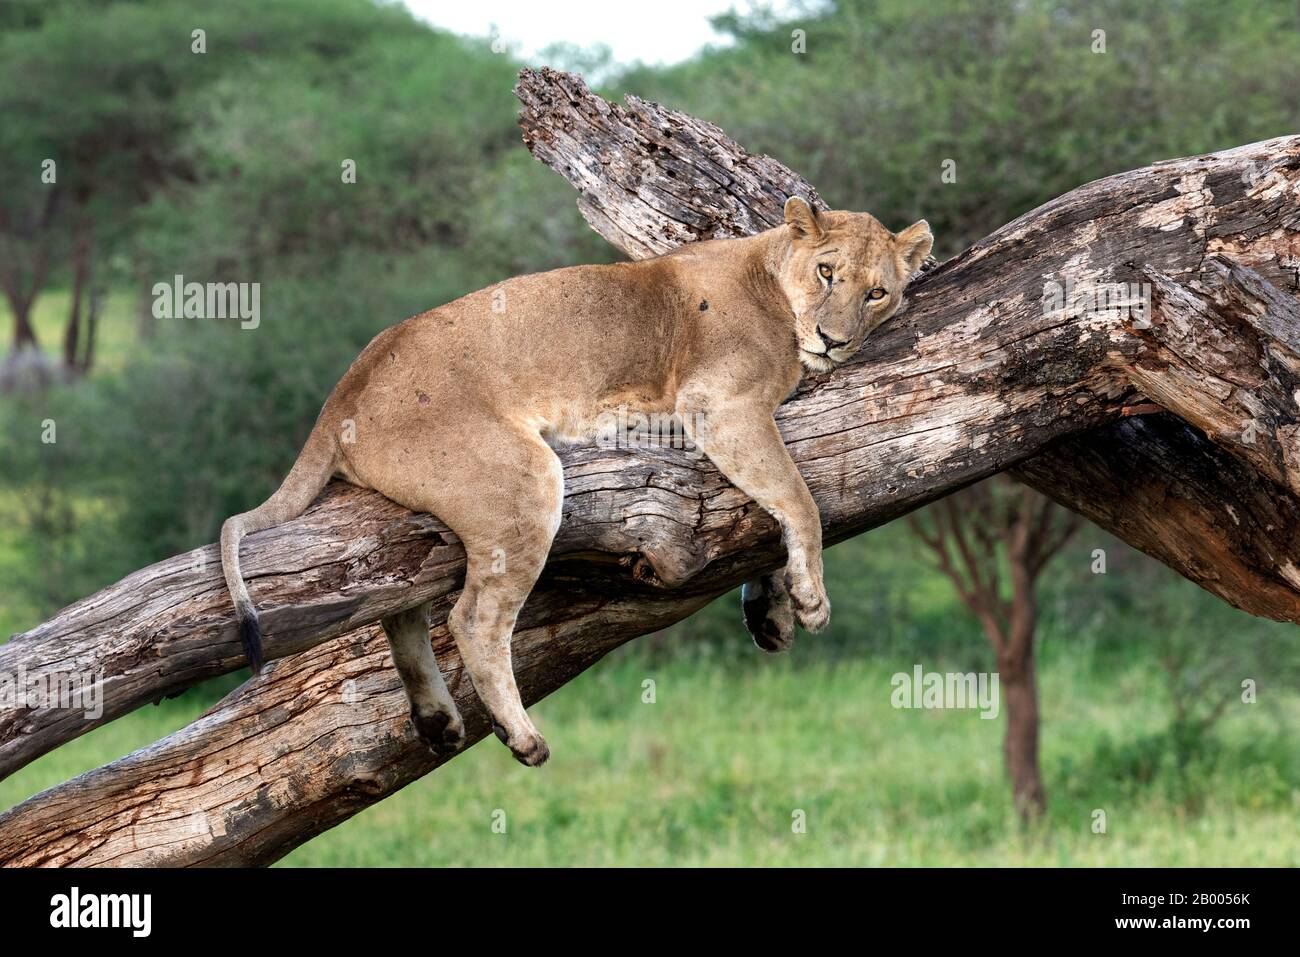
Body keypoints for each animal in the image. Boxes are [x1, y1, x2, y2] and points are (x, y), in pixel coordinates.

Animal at [220, 198, 932, 766]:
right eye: (827, 272)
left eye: (877, 293)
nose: (833, 340)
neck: (772, 275)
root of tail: (343, 390)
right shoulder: (721, 405)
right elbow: (799, 499)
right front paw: (811, 602)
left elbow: (764, 519)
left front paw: (771, 611)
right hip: (526, 480)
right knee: (472, 619)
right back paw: (522, 737)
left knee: (400, 611)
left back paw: (439, 721)